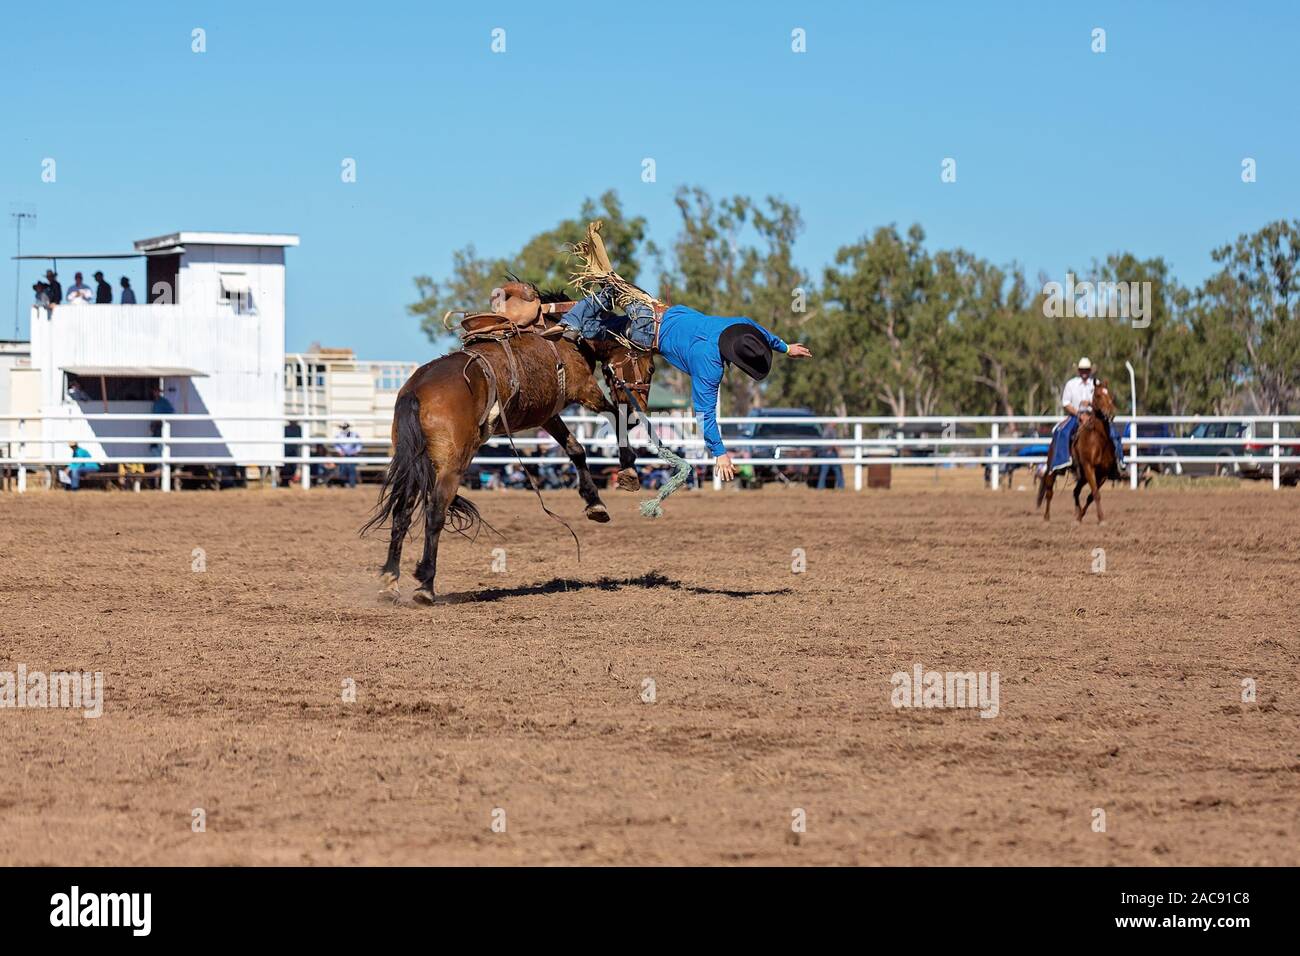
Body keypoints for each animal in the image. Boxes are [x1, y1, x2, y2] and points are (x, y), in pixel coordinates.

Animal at [361, 286, 655, 604]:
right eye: (650, 367)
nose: (639, 409)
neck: (570, 336)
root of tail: (415, 390)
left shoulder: (547, 414)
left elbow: (575, 449)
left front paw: (594, 502)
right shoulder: (585, 389)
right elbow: (614, 416)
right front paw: (628, 471)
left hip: (416, 462)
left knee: (402, 513)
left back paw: (390, 582)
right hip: (451, 466)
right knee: (435, 513)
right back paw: (425, 585)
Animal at [1036, 378, 1119, 524]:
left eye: (1109, 395)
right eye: (1098, 395)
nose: (1110, 414)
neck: (1098, 440)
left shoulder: (1103, 473)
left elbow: (1091, 496)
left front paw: (1081, 516)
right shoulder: (1089, 467)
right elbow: (1096, 494)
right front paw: (1101, 519)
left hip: (1083, 476)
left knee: (1075, 491)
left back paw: (1077, 515)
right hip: (1053, 469)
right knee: (1049, 492)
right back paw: (1046, 518)